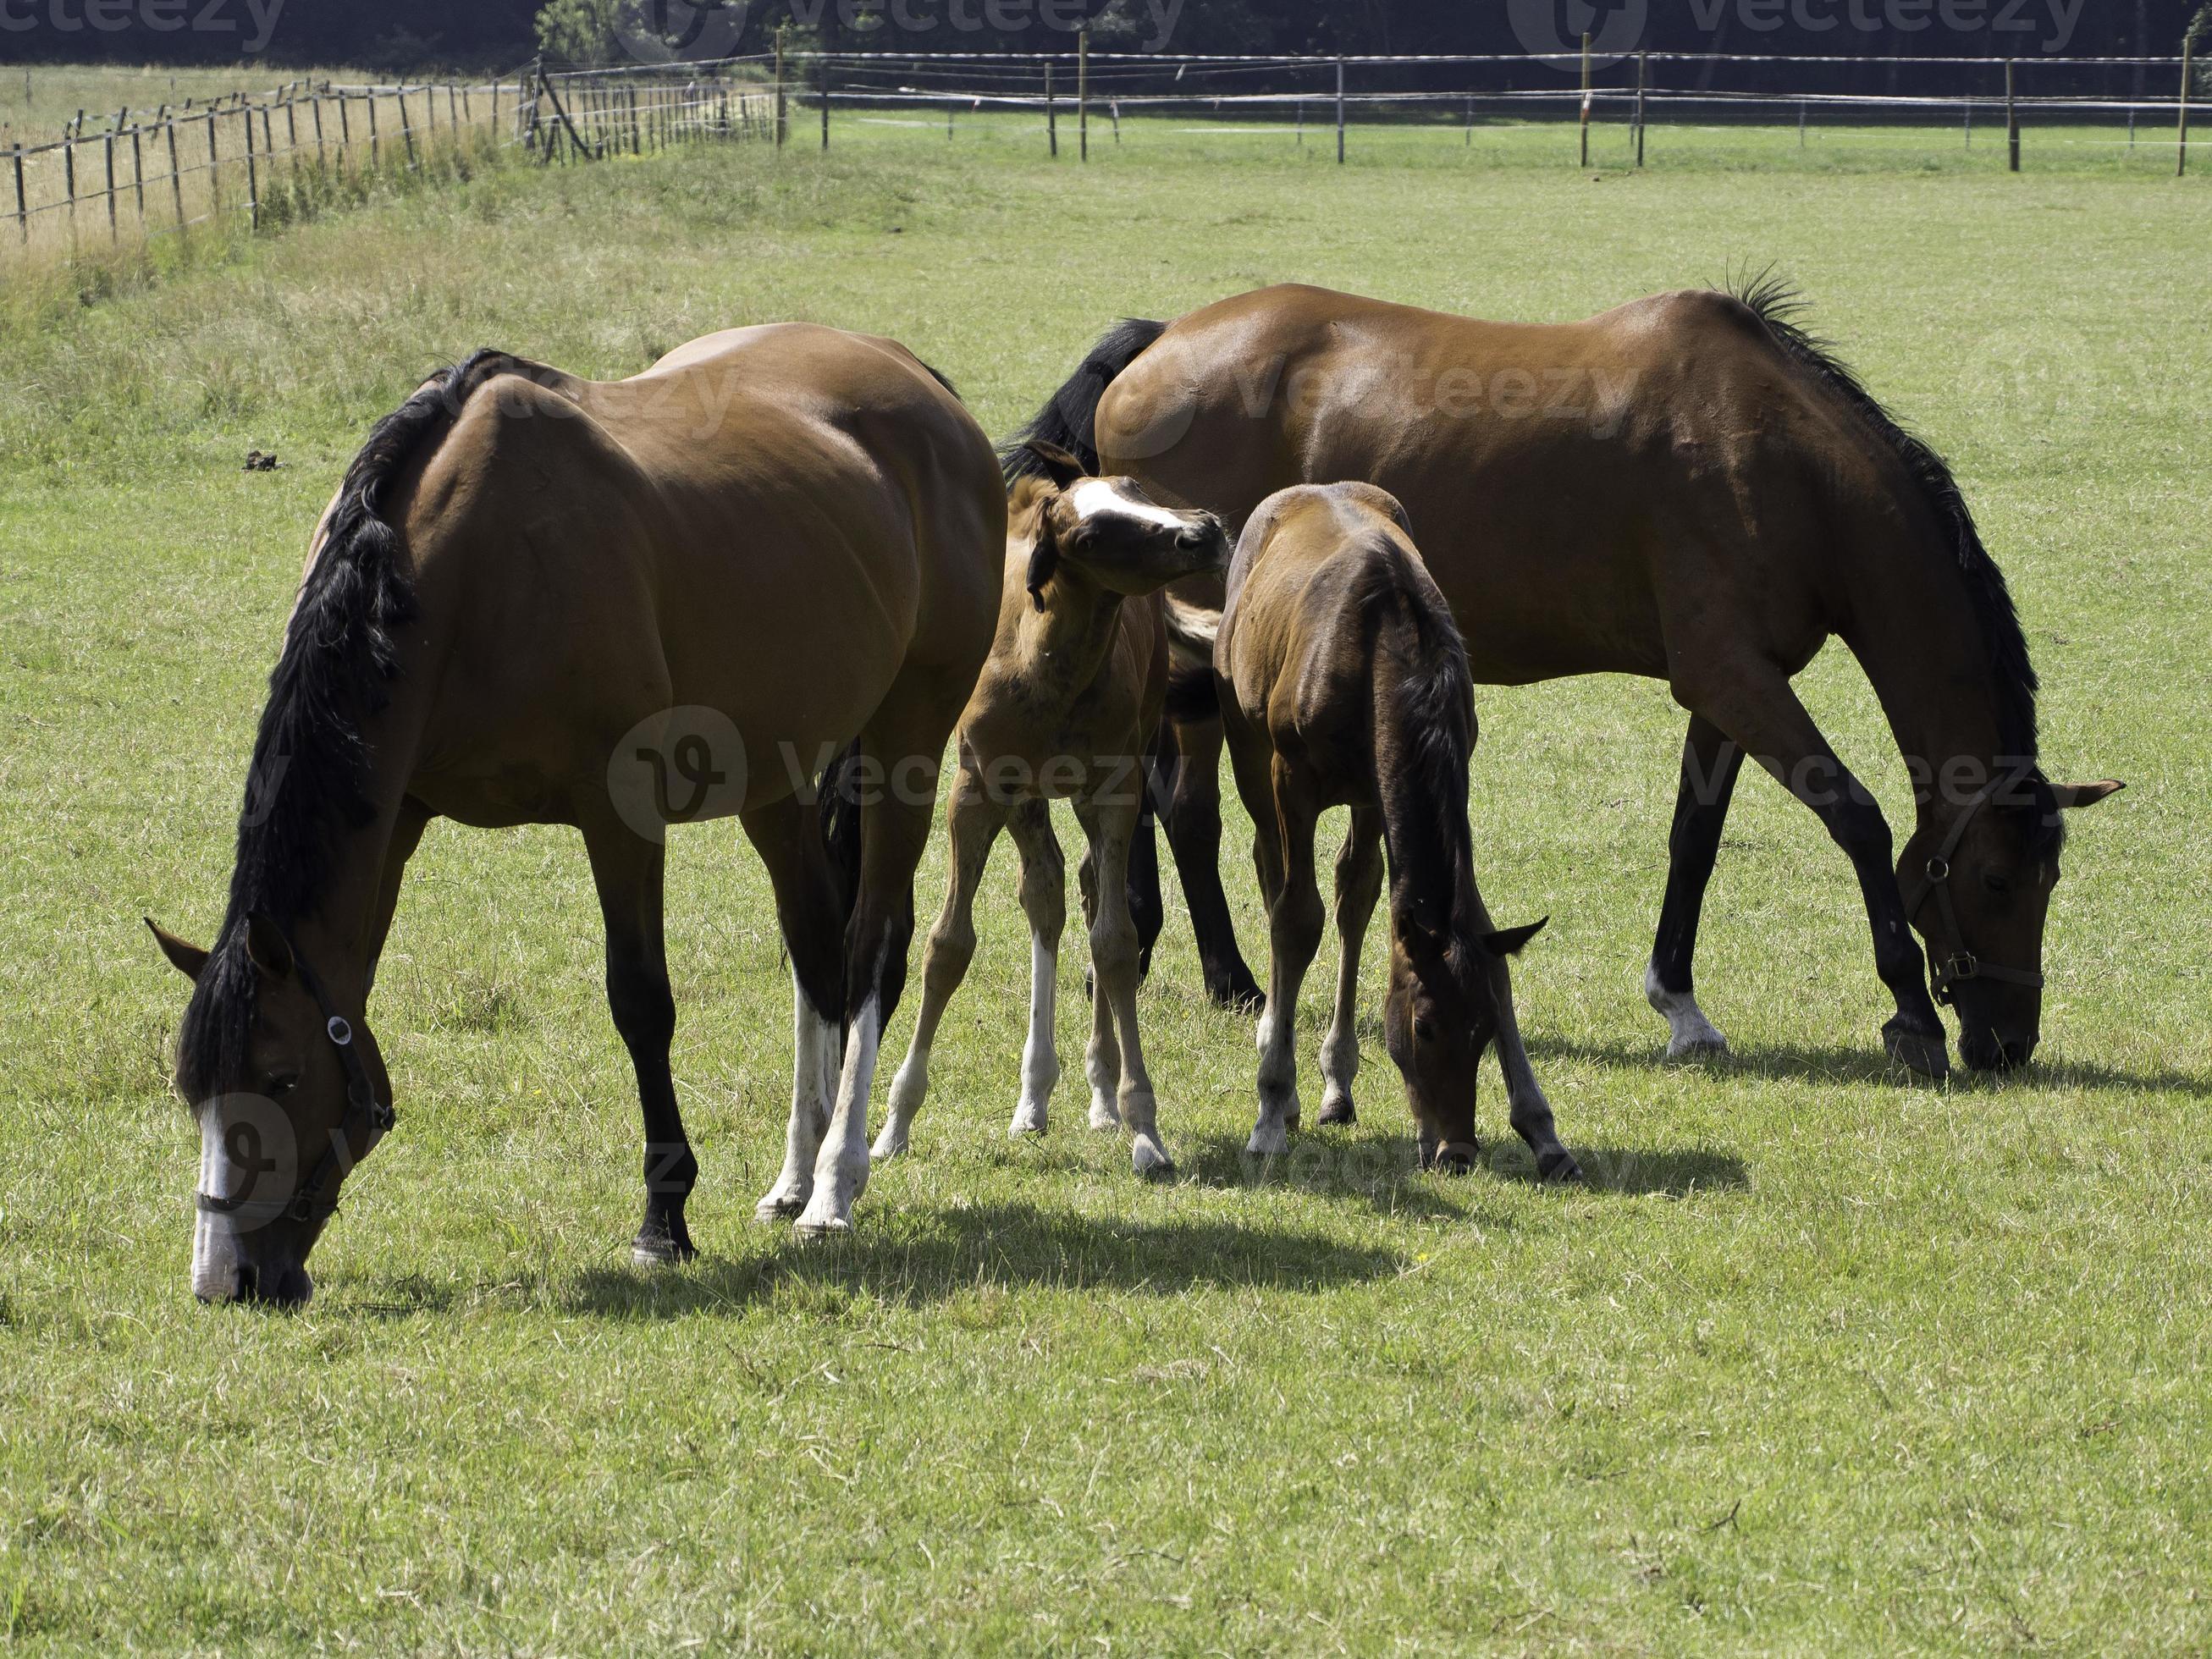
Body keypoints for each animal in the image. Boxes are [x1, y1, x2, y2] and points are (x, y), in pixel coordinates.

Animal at [147, 324, 1004, 1304]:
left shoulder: (619, 815)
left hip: (908, 741)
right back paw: (795, 1175)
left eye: (283, 1078)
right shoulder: (396, 814)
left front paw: (663, 1219)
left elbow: (641, 1003)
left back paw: (834, 1183)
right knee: (818, 958)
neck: (470, 574)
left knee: (868, 954)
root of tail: (918, 383)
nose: (227, 1278)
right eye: (194, 1091)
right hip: (774, 781)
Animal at [869, 441, 1230, 1176]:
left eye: (1133, 487)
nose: (1202, 531)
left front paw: (1143, 1127)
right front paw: (893, 1125)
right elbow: (947, 945)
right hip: (1025, 799)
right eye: (1087, 538)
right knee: (1046, 889)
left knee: (1084, 890)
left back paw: (1096, 1095)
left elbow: (1115, 944)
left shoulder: (1114, 792)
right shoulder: (975, 792)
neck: (1046, 668)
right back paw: (1032, 1100)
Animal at [1006, 281, 2122, 1078]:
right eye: (1995, 880)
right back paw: (1229, 973)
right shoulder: (1737, 680)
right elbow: (1858, 817)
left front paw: (1680, 1002)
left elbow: (1693, 841)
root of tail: (1157, 343)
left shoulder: (1725, 688)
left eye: (2052, 880)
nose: (2010, 1041)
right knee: (1186, 805)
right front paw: (1910, 1009)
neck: (1780, 461)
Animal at [1215, 482, 1577, 1180]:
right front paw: (1271, 1107)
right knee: (1272, 870)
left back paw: (1336, 1083)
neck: (1382, 654)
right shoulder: (1291, 777)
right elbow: (1295, 919)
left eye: (1484, 1029)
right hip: (1247, 747)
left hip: (1366, 798)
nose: (1456, 1151)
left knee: (1354, 896)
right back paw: (1282, 1059)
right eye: (1424, 1026)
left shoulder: (1411, 781)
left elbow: (1471, 928)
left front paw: (1543, 1131)